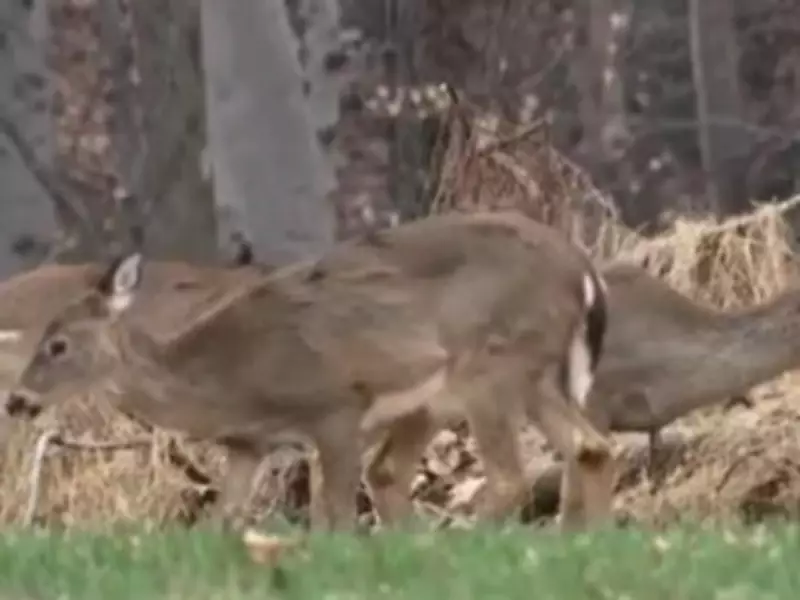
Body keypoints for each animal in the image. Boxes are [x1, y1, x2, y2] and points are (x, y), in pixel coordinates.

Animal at [2, 211, 616, 532]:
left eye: (57, 344)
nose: (17, 400)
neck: (227, 379)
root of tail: (584, 269)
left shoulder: (336, 407)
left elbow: (333, 516)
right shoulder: (247, 445)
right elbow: (222, 521)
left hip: (490, 366)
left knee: (511, 474)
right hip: (529, 375)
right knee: (592, 446)